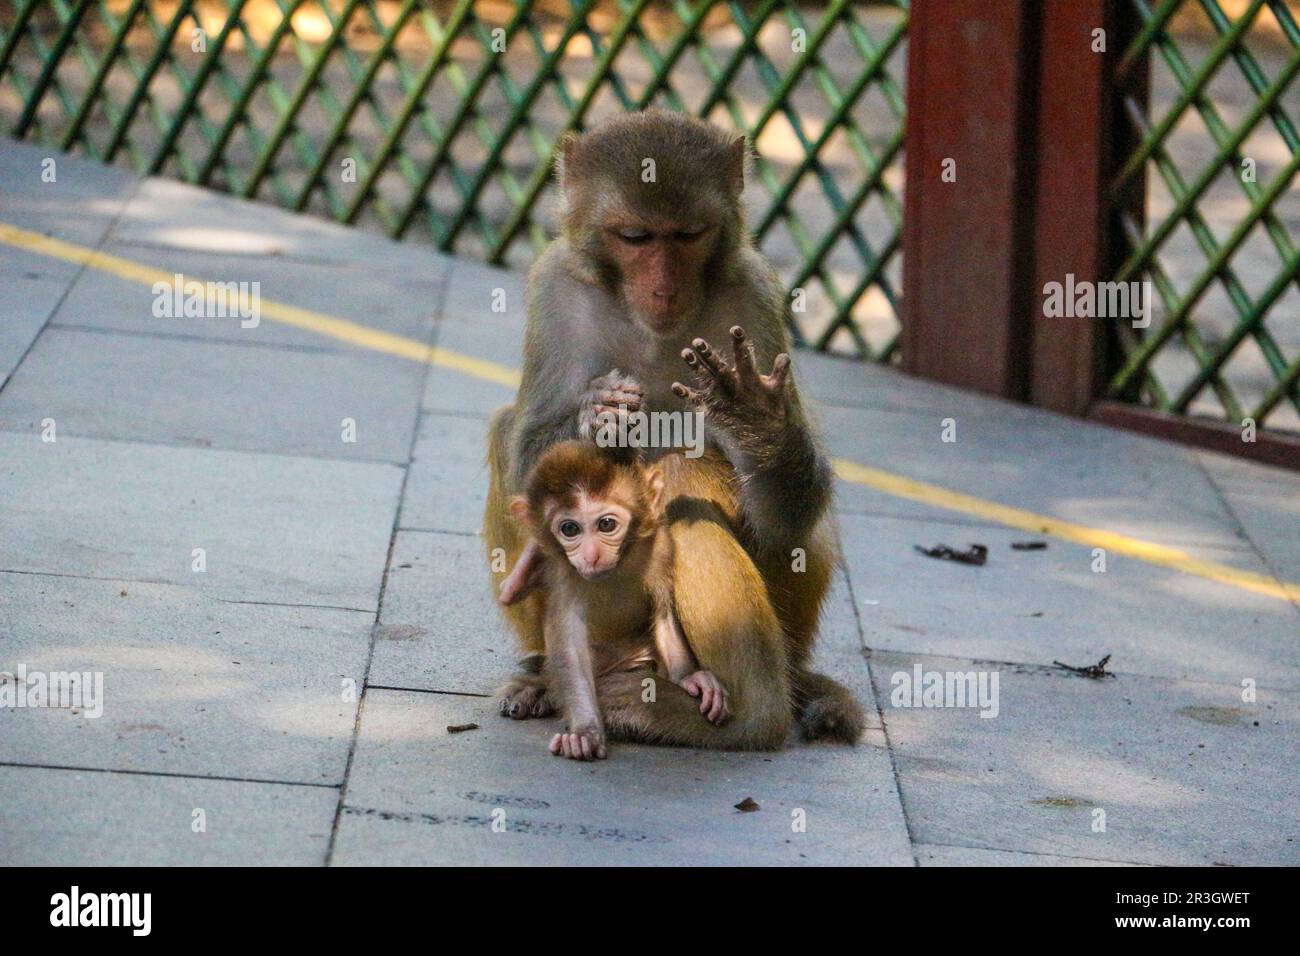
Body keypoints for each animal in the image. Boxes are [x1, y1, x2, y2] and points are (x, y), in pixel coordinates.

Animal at [508, 440, 729, 760]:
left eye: (607, 524)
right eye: (570, 529)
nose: (591, 556)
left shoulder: (659, 548)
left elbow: (663, 615)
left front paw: (690, 679)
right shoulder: (565, 575)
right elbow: (570, 647)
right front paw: (585, 732)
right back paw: (537, 693)